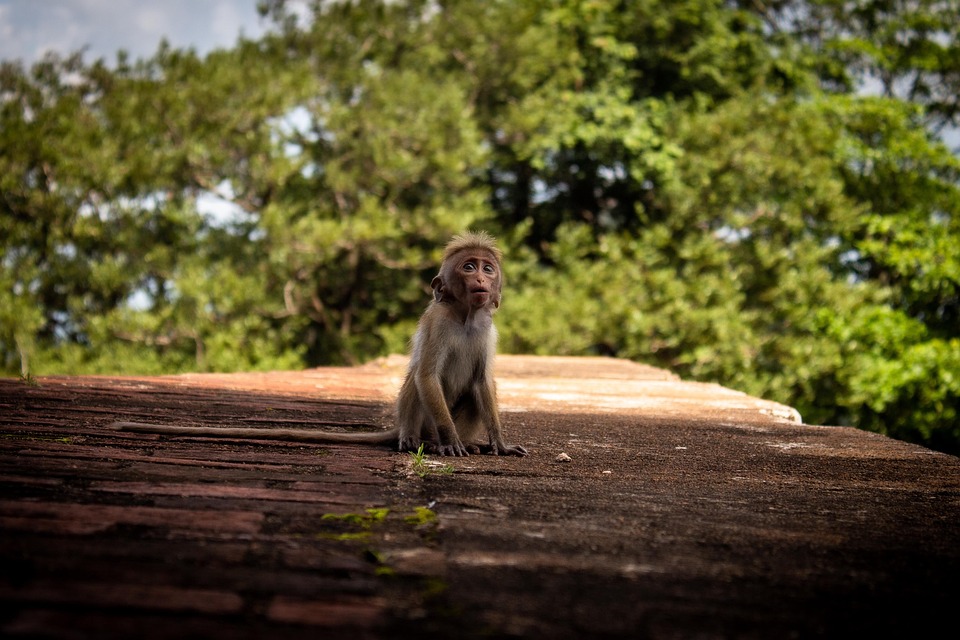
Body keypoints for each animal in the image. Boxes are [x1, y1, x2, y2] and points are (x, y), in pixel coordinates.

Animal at [110, 231, 527, 458]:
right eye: (468, 267)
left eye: (487, 268)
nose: (482, 280)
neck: (464, 316)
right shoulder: (439, 322)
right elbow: (426, 377)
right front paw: (452, 442)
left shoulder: (488, 328)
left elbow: (483, 382)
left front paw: (500, 444)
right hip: (423, 423)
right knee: (415, 382)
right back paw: (417, 439)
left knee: (472, 390)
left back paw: (474, 442)